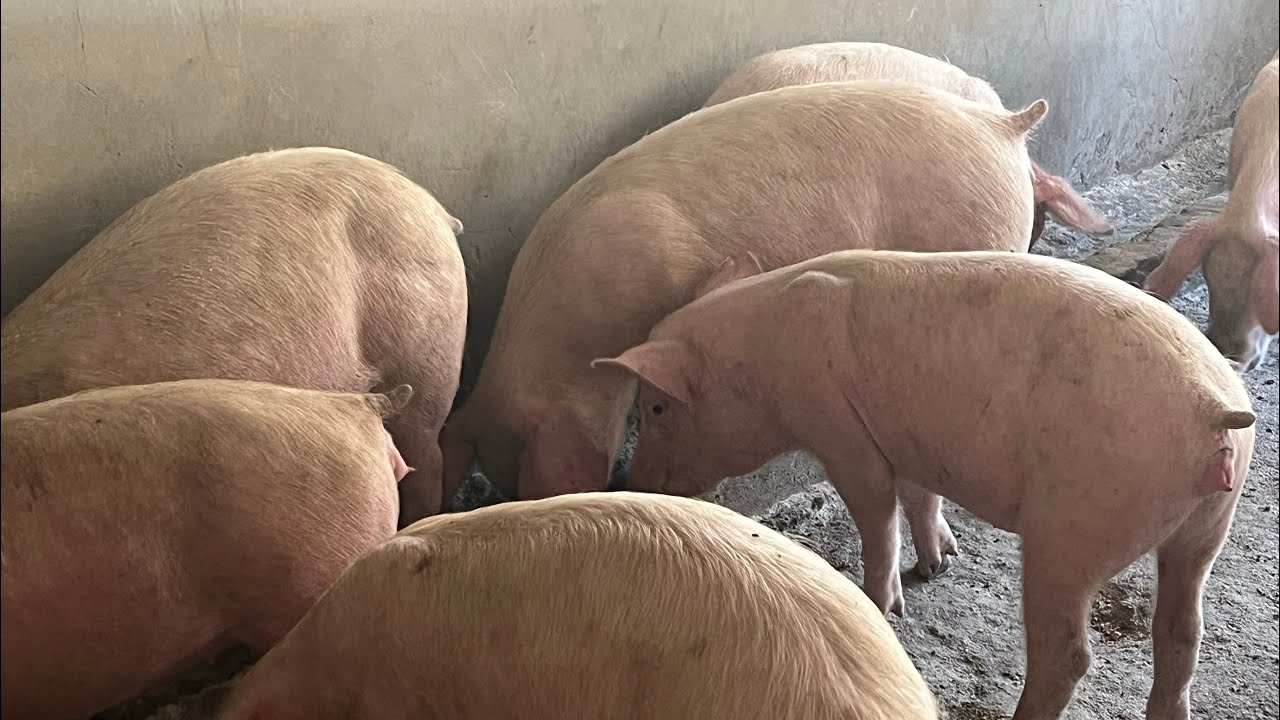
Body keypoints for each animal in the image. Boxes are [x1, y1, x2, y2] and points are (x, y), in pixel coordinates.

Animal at [594, 250, 1256, 720]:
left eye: (656, 408)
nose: (630, 481)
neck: (759, 365)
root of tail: (1214, 411)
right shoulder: (907, 440)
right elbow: (918, 495)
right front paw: (940, 562)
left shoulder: (838, 426)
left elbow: (873, 510)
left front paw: (884, 604)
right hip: (1205, 530)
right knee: (1183, 633)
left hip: (1073, 528)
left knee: (1070, 654)